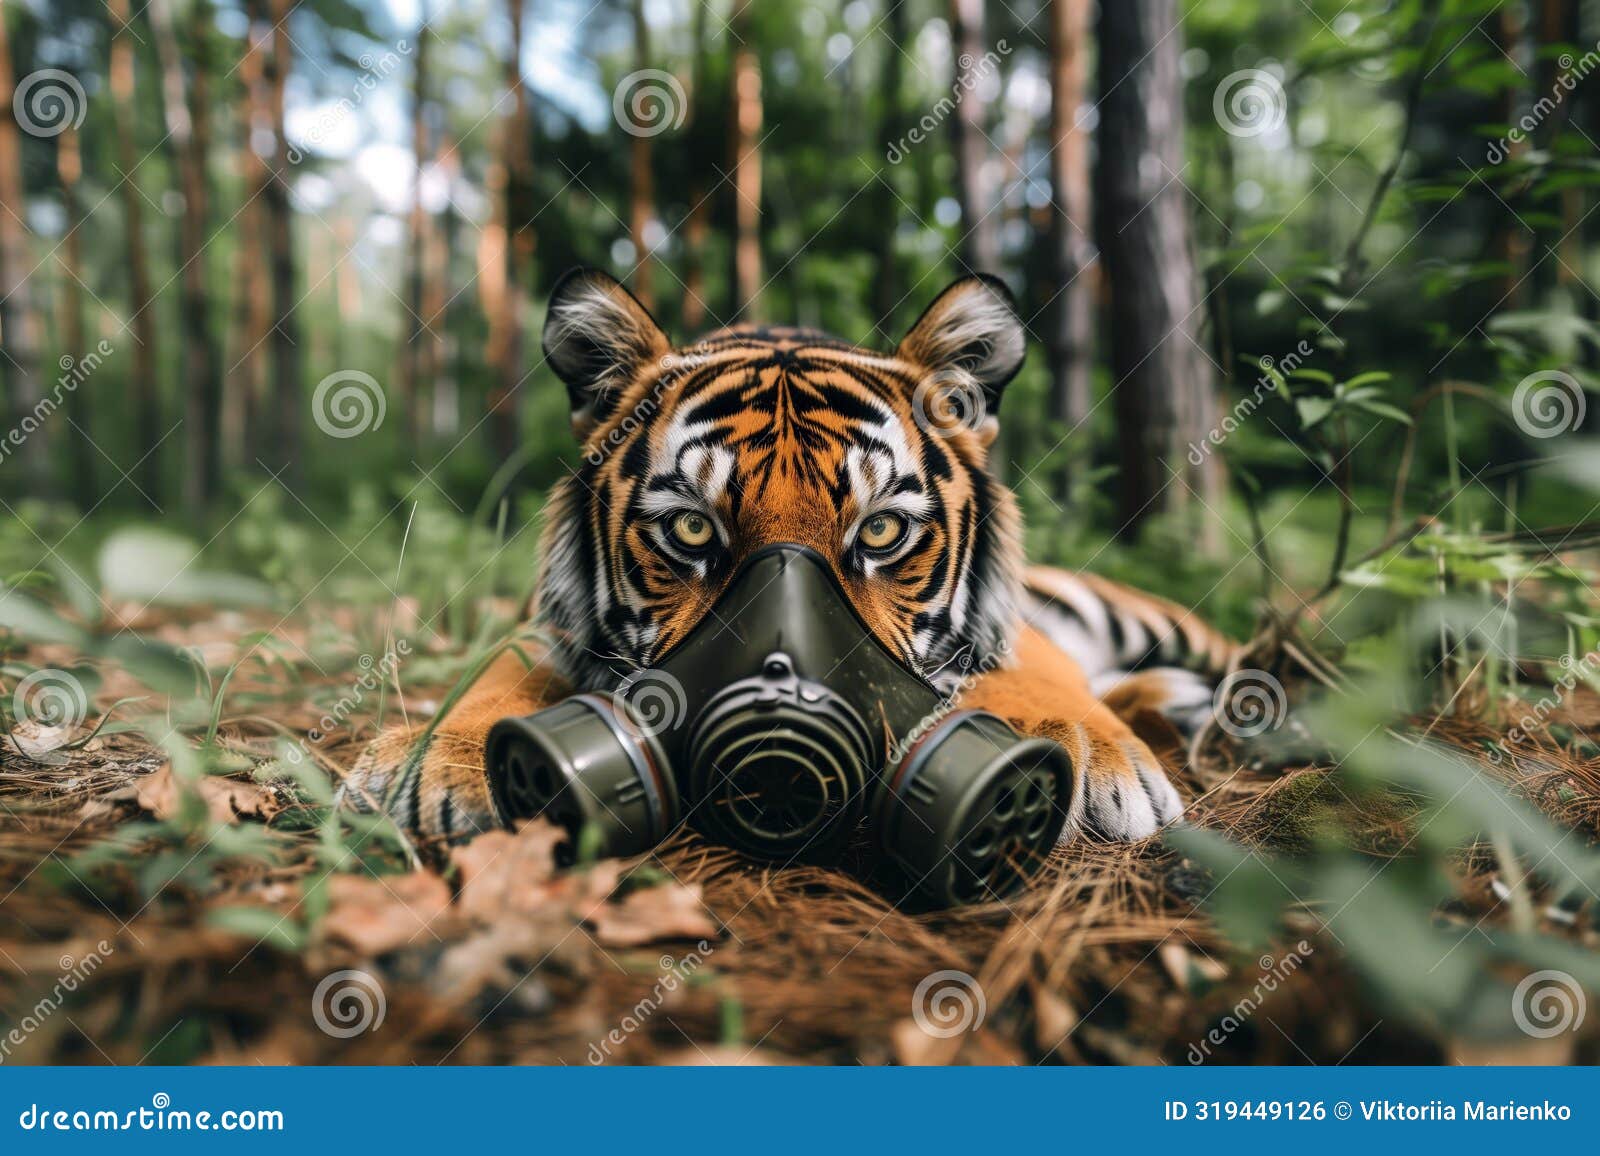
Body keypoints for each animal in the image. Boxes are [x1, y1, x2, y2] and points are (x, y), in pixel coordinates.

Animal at [345, 270, 1238, 846]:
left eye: (879, 533)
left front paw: (1088, 756)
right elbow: (498, 673)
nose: (784, 687)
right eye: (692, 530)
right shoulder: (541, 630)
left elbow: (1040, 678)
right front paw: (434, 764)